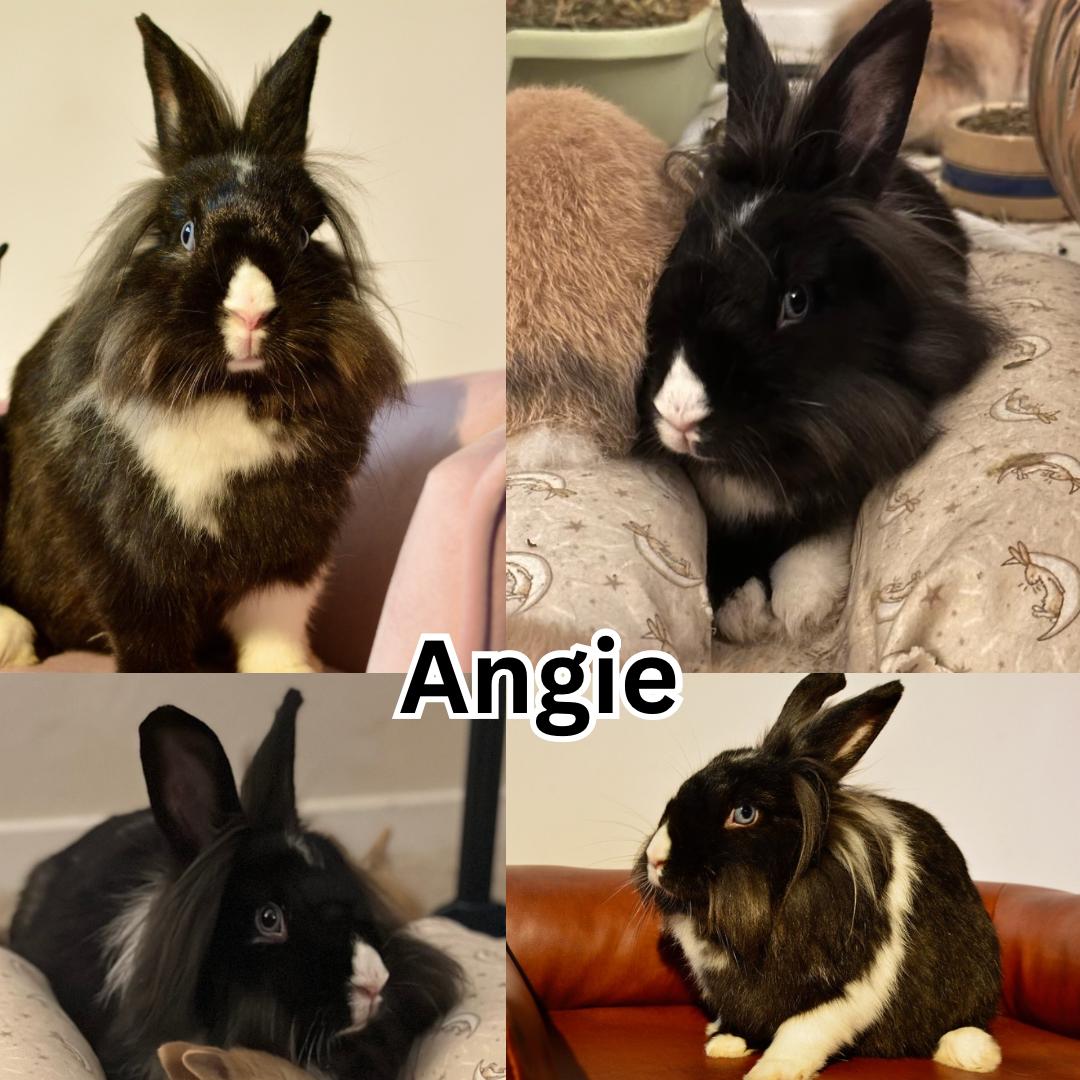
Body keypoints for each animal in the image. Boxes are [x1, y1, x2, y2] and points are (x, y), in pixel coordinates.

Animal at [0, 13, 403, 672]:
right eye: (186, 233)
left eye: (303, 233)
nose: (251, 312)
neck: (227, 395)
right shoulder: (127, 559)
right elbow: (149, 636)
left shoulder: (290, 552)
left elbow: (275, 626)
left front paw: (291, 671)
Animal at [634, 673, 1002, 1078]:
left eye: (744, 813)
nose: (655, 858)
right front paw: (725, 1042)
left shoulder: (846, 988)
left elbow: (802, 1030)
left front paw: (771, 1071)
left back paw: (974, 1053)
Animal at [636, 0, 1004, 646]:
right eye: (674, 263)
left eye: (796, 301)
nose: (680, 417)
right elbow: (714, 551)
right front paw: (742, 611)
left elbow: (823, 534)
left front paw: (800, 607)